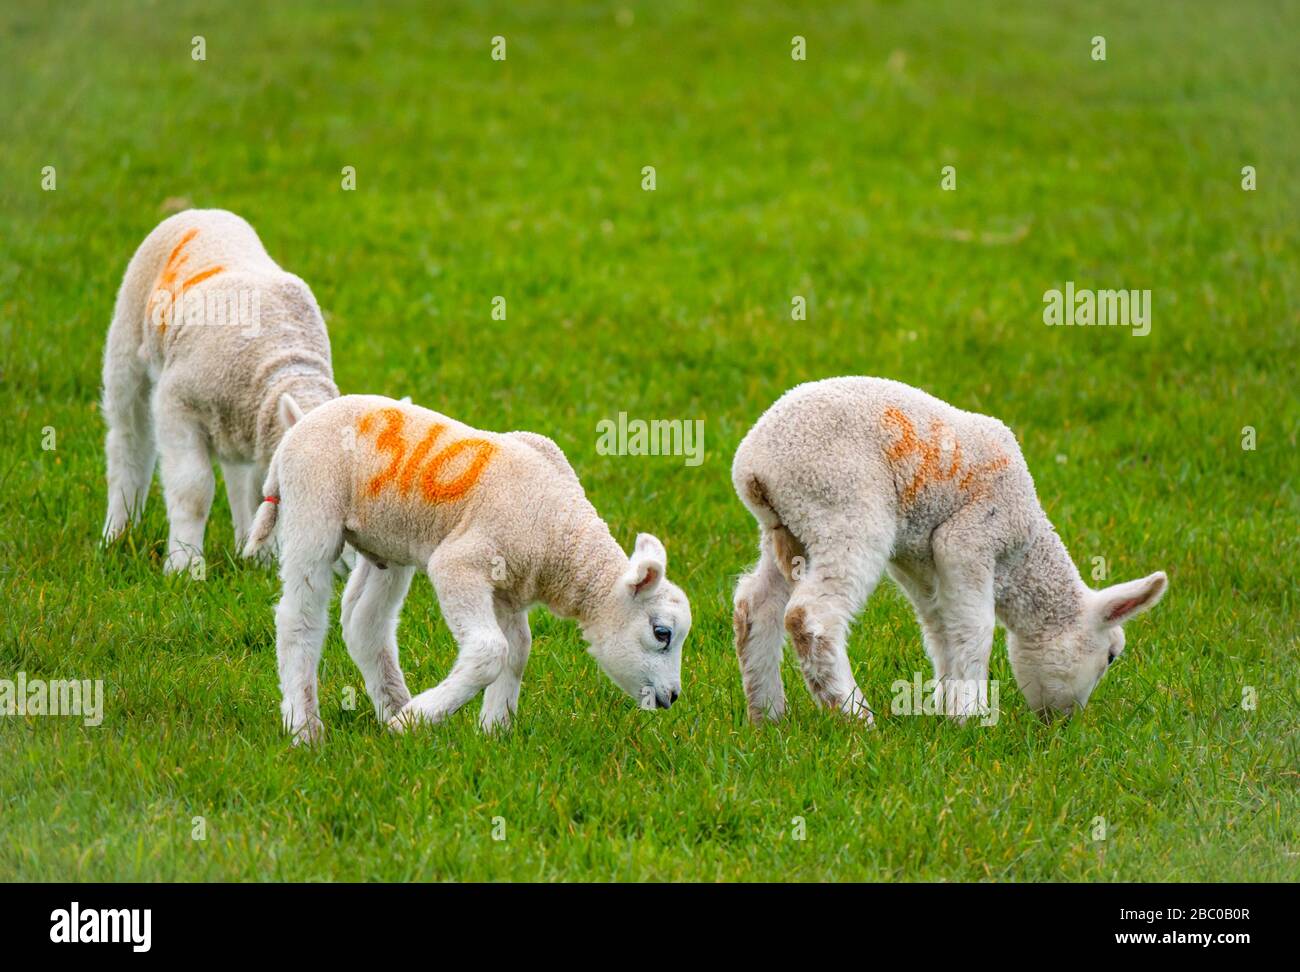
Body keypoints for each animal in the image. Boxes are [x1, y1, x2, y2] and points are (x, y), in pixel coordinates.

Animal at [100, 209, 338, 573]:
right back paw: (117, 533)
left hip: (235, 423)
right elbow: (193, 488)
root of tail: (203, 211)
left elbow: (258, 492)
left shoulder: (261, 430)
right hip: (127, 345)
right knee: (128, 443)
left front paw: (261, 562)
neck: (283, 358)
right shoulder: (176, 404)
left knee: (237, 474)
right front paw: (184, 567)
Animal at [242, 394, 690, 743]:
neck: (558, 536)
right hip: (314, 508)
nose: (672, 697)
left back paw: (393, 708)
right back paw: (306, 728)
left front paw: (493, 730)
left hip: (387, 542)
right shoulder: (460, 562)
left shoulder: (510, 587)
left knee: (365, 623)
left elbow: (518, 649)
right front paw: (418, 719)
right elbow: (492, 651)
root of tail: (299, 424)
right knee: (298, 617)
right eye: (661, 633)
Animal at [731, 376, 1167, 723]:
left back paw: (767, 715)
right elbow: (977, 627)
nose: (1064, 722)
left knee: (755, 603)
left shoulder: (920, 560)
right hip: (843, 506)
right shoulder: (970, 538)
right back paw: (854, 716)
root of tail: (754, 466)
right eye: (1111, 656)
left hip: (790, 528)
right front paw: (973, 716)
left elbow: (942, 628)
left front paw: (946, 705)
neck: (1023, 553)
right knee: (810, 615)